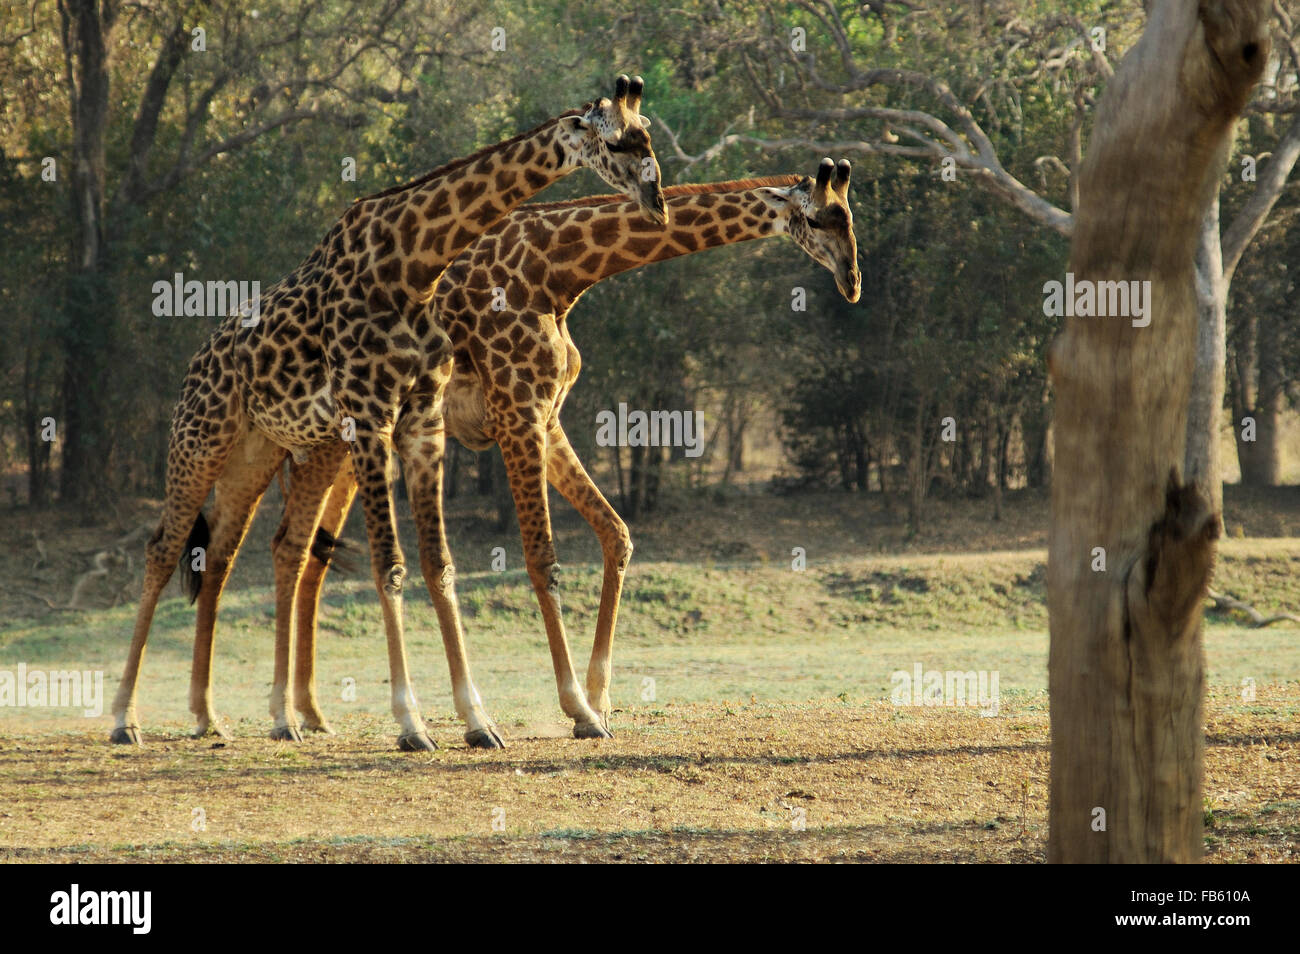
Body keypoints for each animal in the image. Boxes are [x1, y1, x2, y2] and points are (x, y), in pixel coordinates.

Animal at [111, 75, 667, 752]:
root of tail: (196, 363)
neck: (412, 262)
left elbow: (440, 565)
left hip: (255, 452)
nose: (656, 198)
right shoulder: (370, 416)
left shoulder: (422, 420)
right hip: (199, 438)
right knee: (164, 548)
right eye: (615, 140)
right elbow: (391, 566)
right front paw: (411, 724)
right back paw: (125, 719)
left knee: (220, 552)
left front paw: (477, 722)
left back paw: (211, 716)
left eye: (648, 134)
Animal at [266, 158, 859, 746]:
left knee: (309, 552)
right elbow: (542, 558)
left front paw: (600, 700)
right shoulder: (517, 413)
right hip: (330, 438)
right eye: (819, 218)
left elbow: (616, 534)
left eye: (850, 215)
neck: (556, 272)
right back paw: (287, 717)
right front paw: (579, 708)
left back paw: (312, 712)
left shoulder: (548, 417)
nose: (852, 282)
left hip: (348, 447)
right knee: (290, 544)